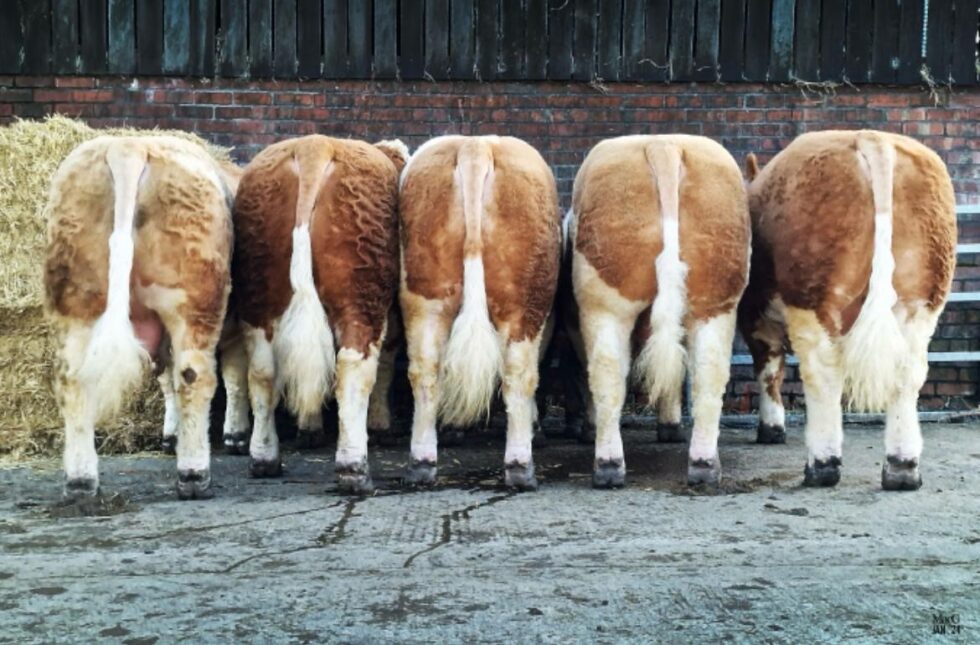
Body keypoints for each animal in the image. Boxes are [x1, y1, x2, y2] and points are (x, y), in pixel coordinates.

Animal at [44, 135, 236, 500]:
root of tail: (128, 146)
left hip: (77, 301)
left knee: (73, 380)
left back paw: (80, 480)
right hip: (195, 302)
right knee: (193, 376)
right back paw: (194, 474)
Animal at [231, 134, 406, 494]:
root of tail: (314, 145)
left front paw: (309, 427)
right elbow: (385, 365)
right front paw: (381, 425)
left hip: (257, 296)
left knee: (263, 372)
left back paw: (264, 458)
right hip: (361, 294)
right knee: (353, 368)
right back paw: (354, 468)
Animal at [399, 135, 560, 491]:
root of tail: (474, 146)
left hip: (424, 298)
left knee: (425, 372)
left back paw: (421, 463)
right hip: (524, 304)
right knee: (519, 376)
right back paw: (520, 466)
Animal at [568, 135, 750, 488]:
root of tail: (663, 146)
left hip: (604, 303)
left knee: (607, 372)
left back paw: (608, 465)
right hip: (716, 298)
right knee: (708, 372)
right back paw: (704, 466)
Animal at [739, 130, 956, 490]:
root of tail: (870, 138)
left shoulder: (755, 320)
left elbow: (769, 371)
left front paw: (771, 428)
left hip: (812, 300)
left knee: (823, 374)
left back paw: (822, 466)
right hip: (924, 304)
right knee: (907, 375)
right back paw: (902, 469)